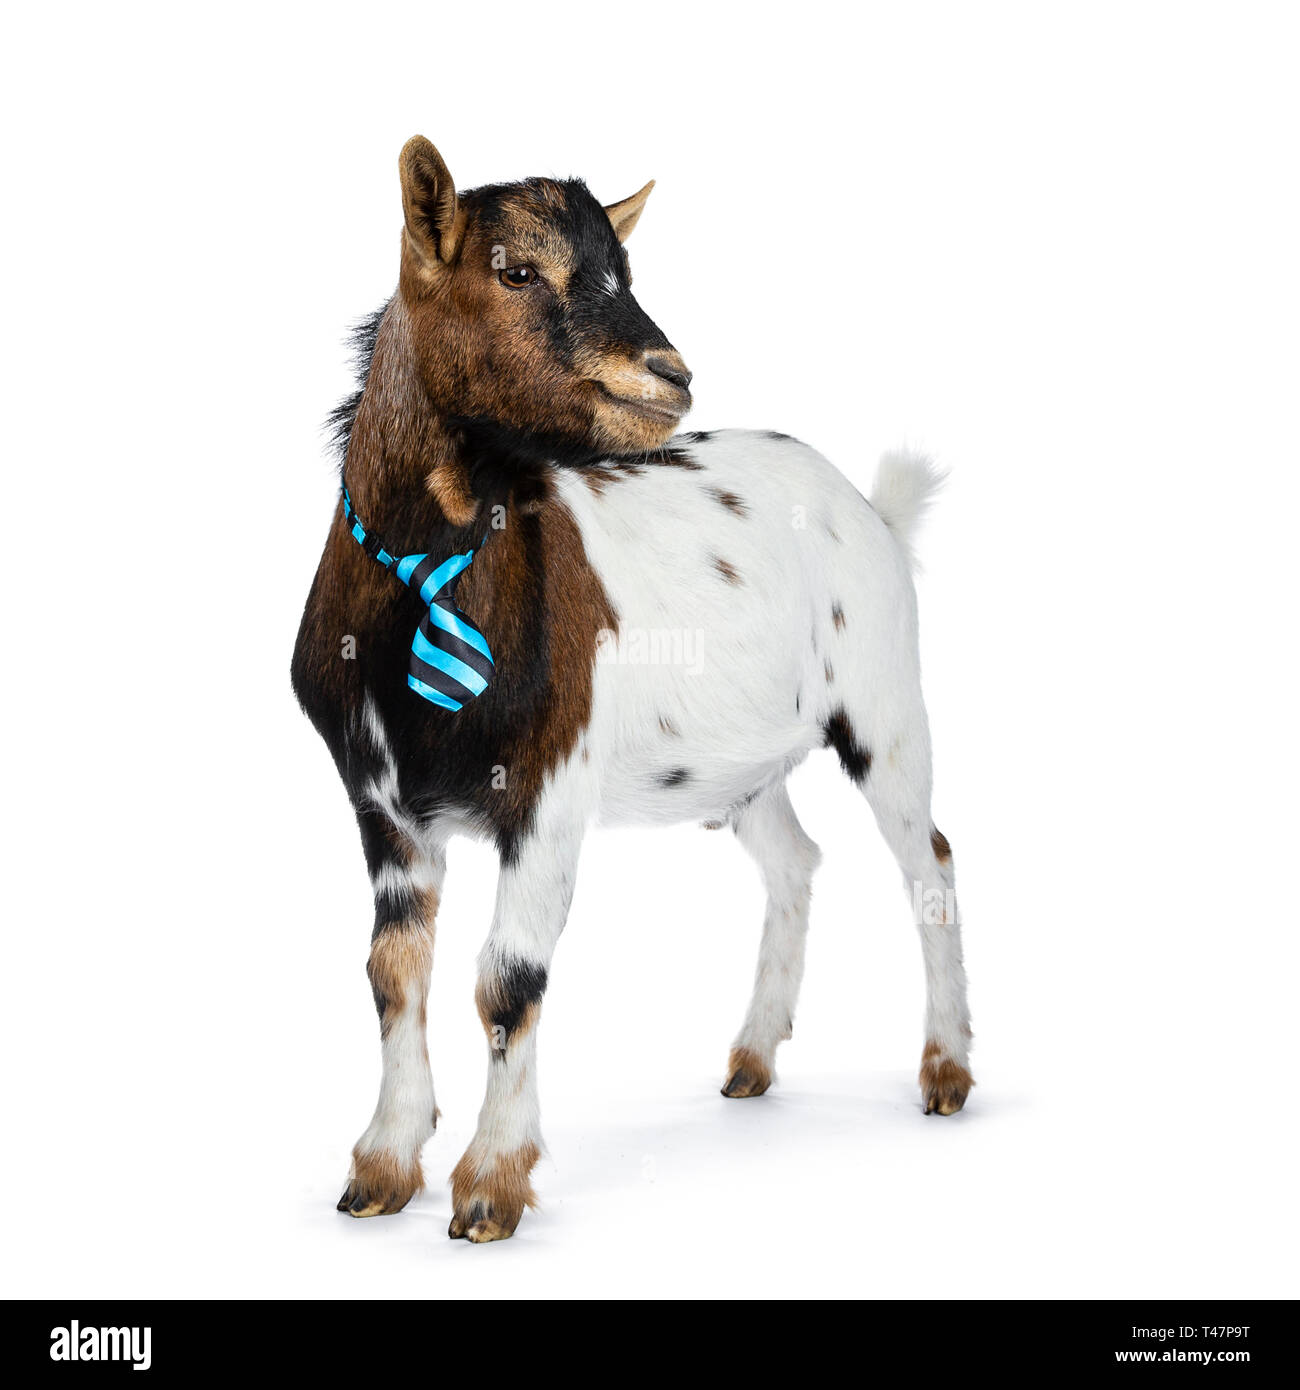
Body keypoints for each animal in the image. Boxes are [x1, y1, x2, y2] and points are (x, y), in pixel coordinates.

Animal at [291, 137, 973, 1243]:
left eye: (626, 268)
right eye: (515, 268)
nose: (671, 374)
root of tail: (870, 506)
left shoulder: (549, 789)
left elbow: (508, 977)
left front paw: (490, 1185)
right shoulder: (379, 803)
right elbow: (394, 973)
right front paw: (381, 1168)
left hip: (886, 703)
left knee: (931, 862)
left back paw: (946, 1070)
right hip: (741, 764)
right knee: (794, 861)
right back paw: (752, 1058)